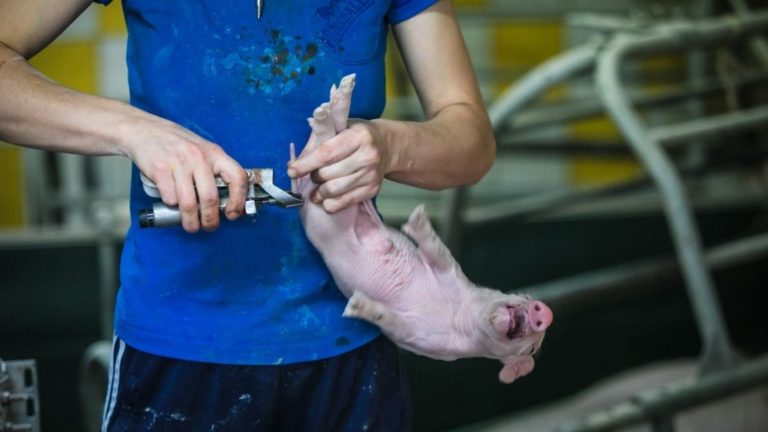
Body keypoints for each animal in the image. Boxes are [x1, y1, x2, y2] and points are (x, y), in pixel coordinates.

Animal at [291, 74, 553, 383]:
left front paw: (356, 306)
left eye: (533, 348)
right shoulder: (451, 273)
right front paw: (417, 218)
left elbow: (389, 320)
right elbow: (439, 254)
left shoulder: (422, 340)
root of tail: (300, 188)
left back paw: (329, 105)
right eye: (524, 297)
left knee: (322, 142)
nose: (545, 311)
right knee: (329, 136)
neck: (459, 315)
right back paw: (340, 94)